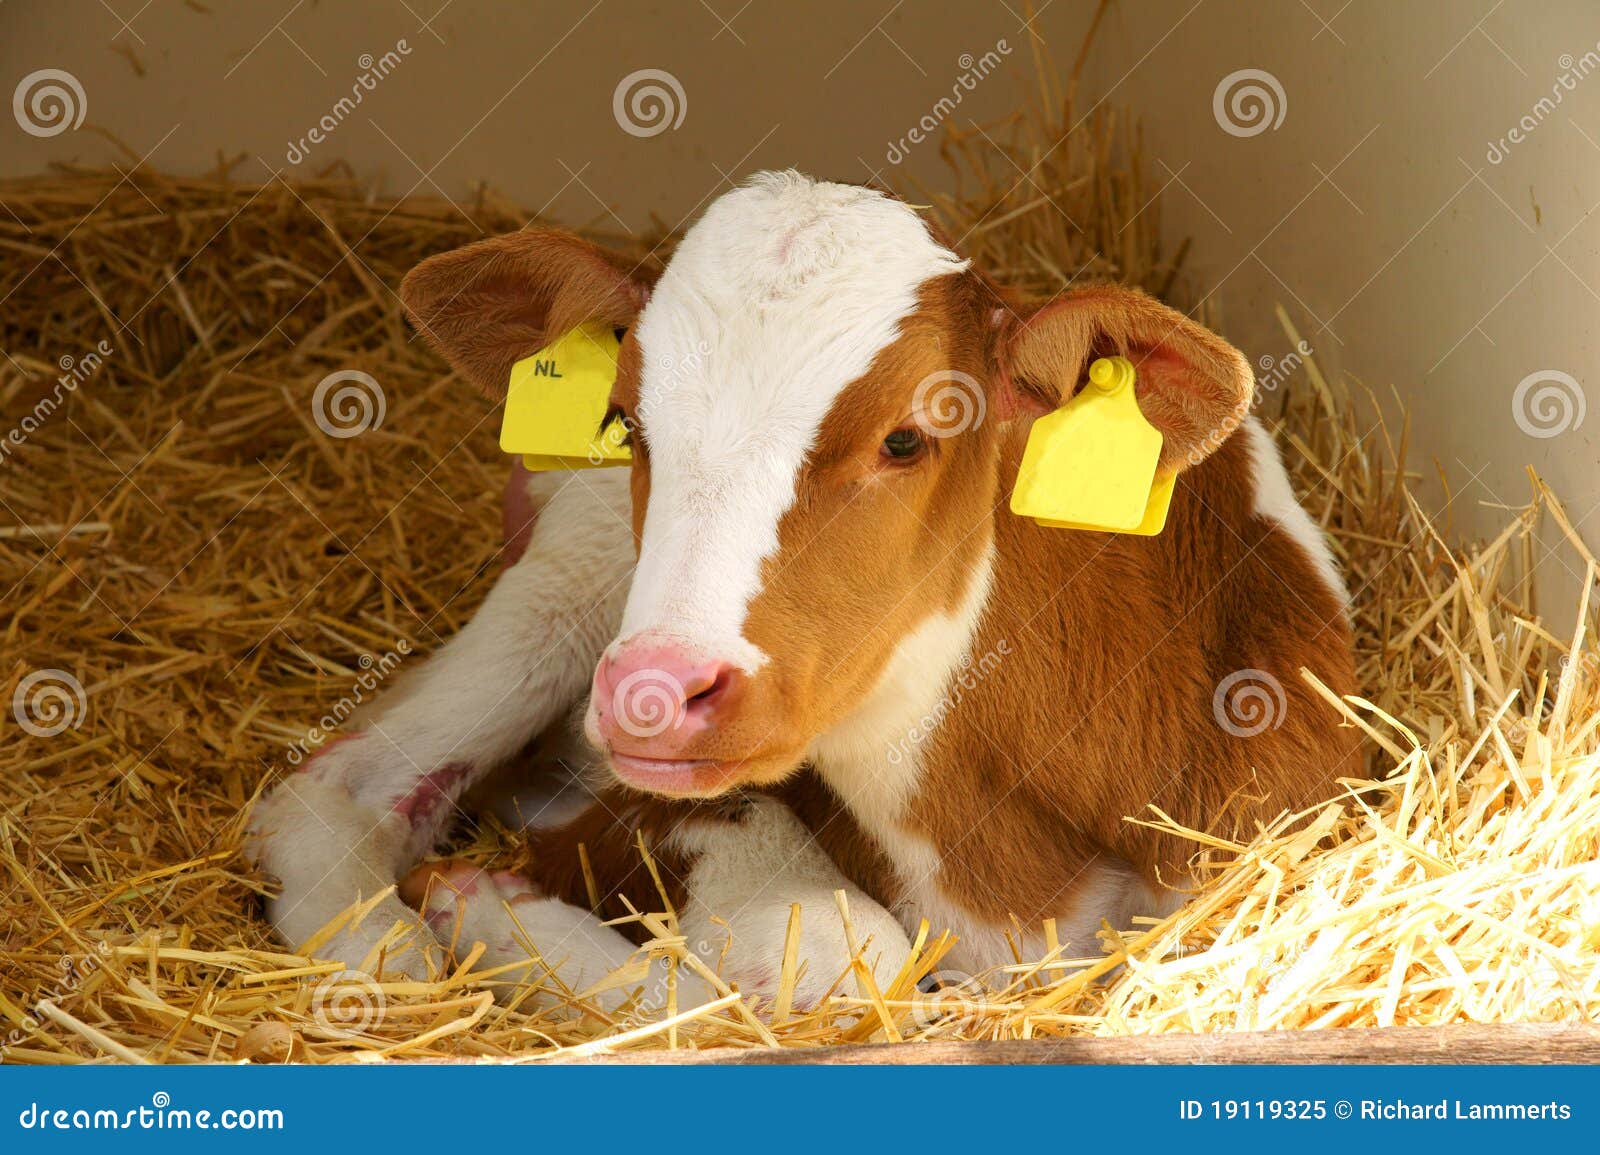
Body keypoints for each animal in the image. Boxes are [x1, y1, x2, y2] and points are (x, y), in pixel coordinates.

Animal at [246, 171, 1361, 1014]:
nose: (653, 696)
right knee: (334, 785)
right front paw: (478, 904)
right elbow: (832, 951)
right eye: (625, 424)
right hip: (570, 588)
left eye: (907, 438)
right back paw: (379, 947)